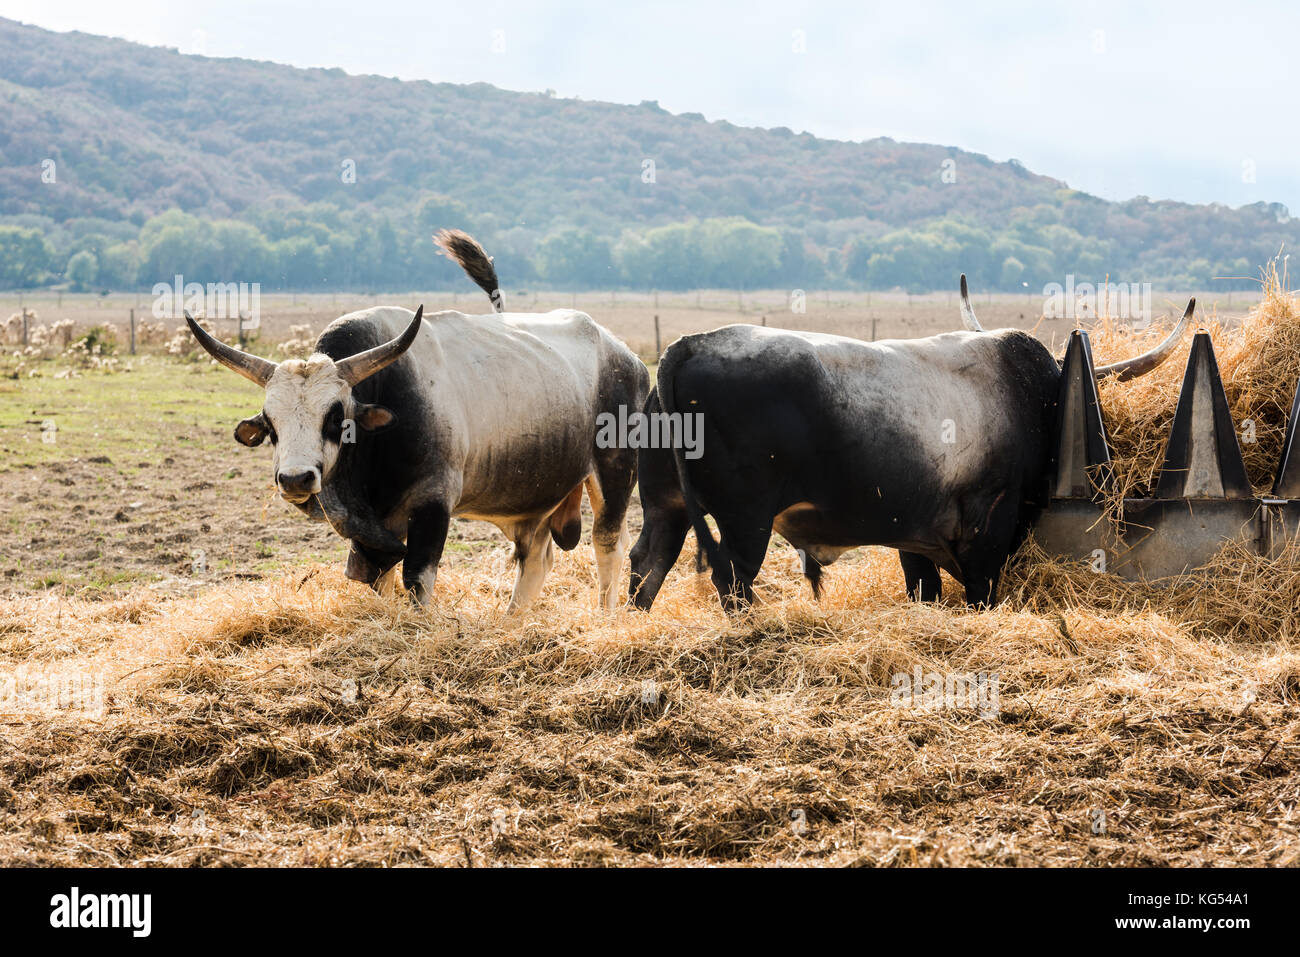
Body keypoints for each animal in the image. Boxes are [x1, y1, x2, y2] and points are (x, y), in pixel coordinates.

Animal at [188, 230, 649, 611]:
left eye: (336, 417)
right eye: (270, 422)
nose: (295, 479)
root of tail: (627, 356)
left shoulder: (433, 502)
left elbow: (417, 579)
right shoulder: (377, 528)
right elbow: (380, 579)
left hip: (614, 474)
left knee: (608, 545)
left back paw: (605, 617)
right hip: (533, 496)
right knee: (536, 559)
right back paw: (510, 623)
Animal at [629, 277, 1192, 612]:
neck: (1032, 395)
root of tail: (689, 345)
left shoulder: (915, 534)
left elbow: (925, 588)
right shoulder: (988, 526)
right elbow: (981, 591)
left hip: (665, 506)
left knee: (646, 564)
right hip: (746, 519)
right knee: (733, 581)